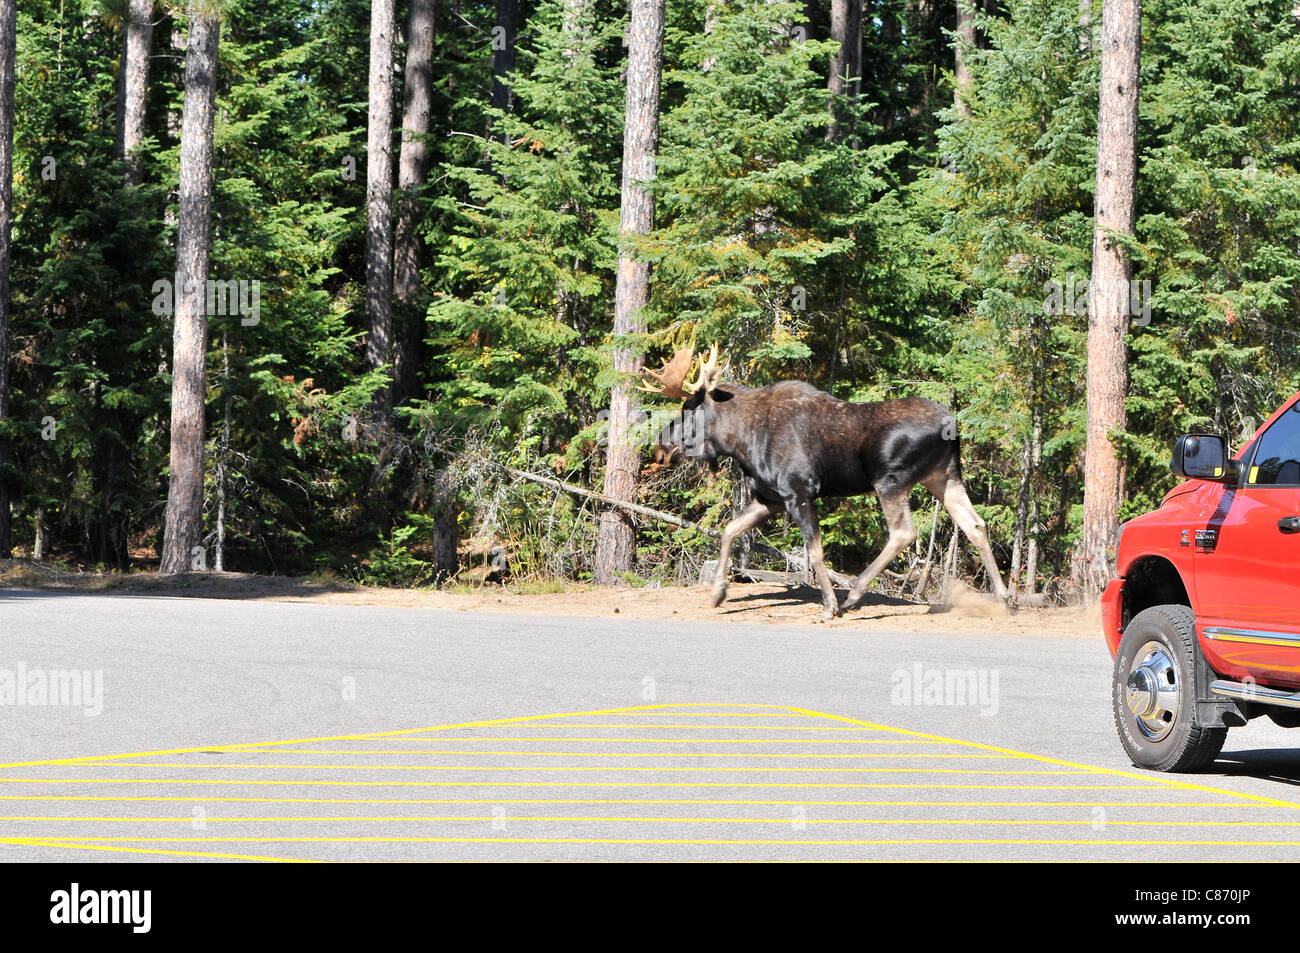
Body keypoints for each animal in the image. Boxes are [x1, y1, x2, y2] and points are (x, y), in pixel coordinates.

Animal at [640, 343, 1010, 621]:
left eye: (688, 409)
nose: (660, 448)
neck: (740, 442)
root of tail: (953, 426)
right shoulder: (770, 499)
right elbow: (730, 530)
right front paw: (719, 592)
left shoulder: (799, 493)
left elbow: (815, 551)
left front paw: (830, 605)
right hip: (943, 477)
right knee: (976, 525)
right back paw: (1004, 597)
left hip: (891, 481)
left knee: (904, 532)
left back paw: (853, 595)